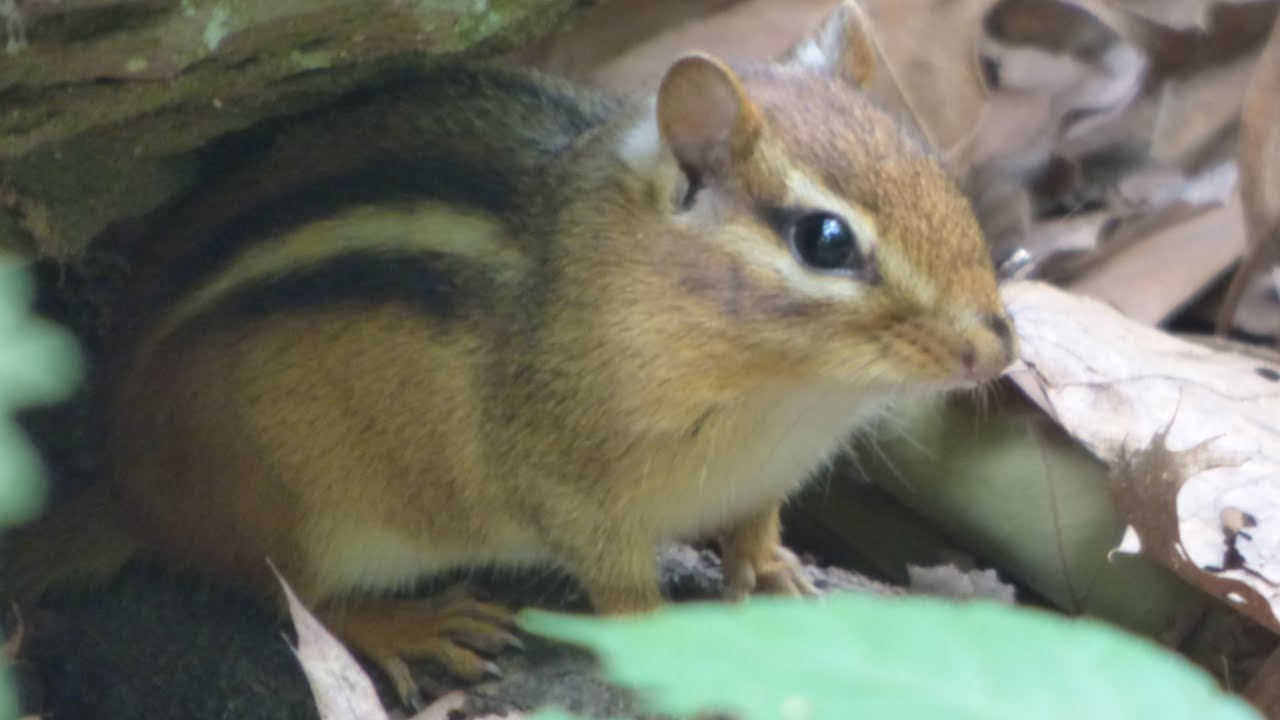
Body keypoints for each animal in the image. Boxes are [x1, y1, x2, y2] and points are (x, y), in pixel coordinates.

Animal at [4, 0, 1016, 706]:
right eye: (825, 241)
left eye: (934, 165)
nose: (995, 350)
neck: (787, 398)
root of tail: (130, 485)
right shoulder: (568, 484)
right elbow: (620, 589)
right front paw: (668, 647)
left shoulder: (766, 474)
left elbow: (756, 522)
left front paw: (773, 569)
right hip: (296, 503)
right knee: (288, 591)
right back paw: (408, 622)